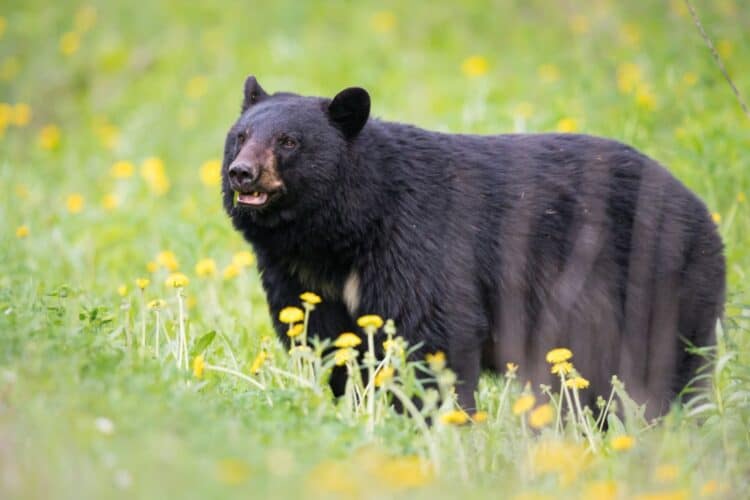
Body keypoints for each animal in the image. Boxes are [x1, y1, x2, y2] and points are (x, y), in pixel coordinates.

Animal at [221, 75, 725, 418]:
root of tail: (701, 208)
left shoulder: (417, 242)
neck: (341, 232)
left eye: (288, 141)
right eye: (240, 137)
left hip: (661, 280)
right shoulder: (300, 277)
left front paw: (426, 420)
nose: (241, 173)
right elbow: (327, 342)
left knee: (668, 365)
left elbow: (432, 333)